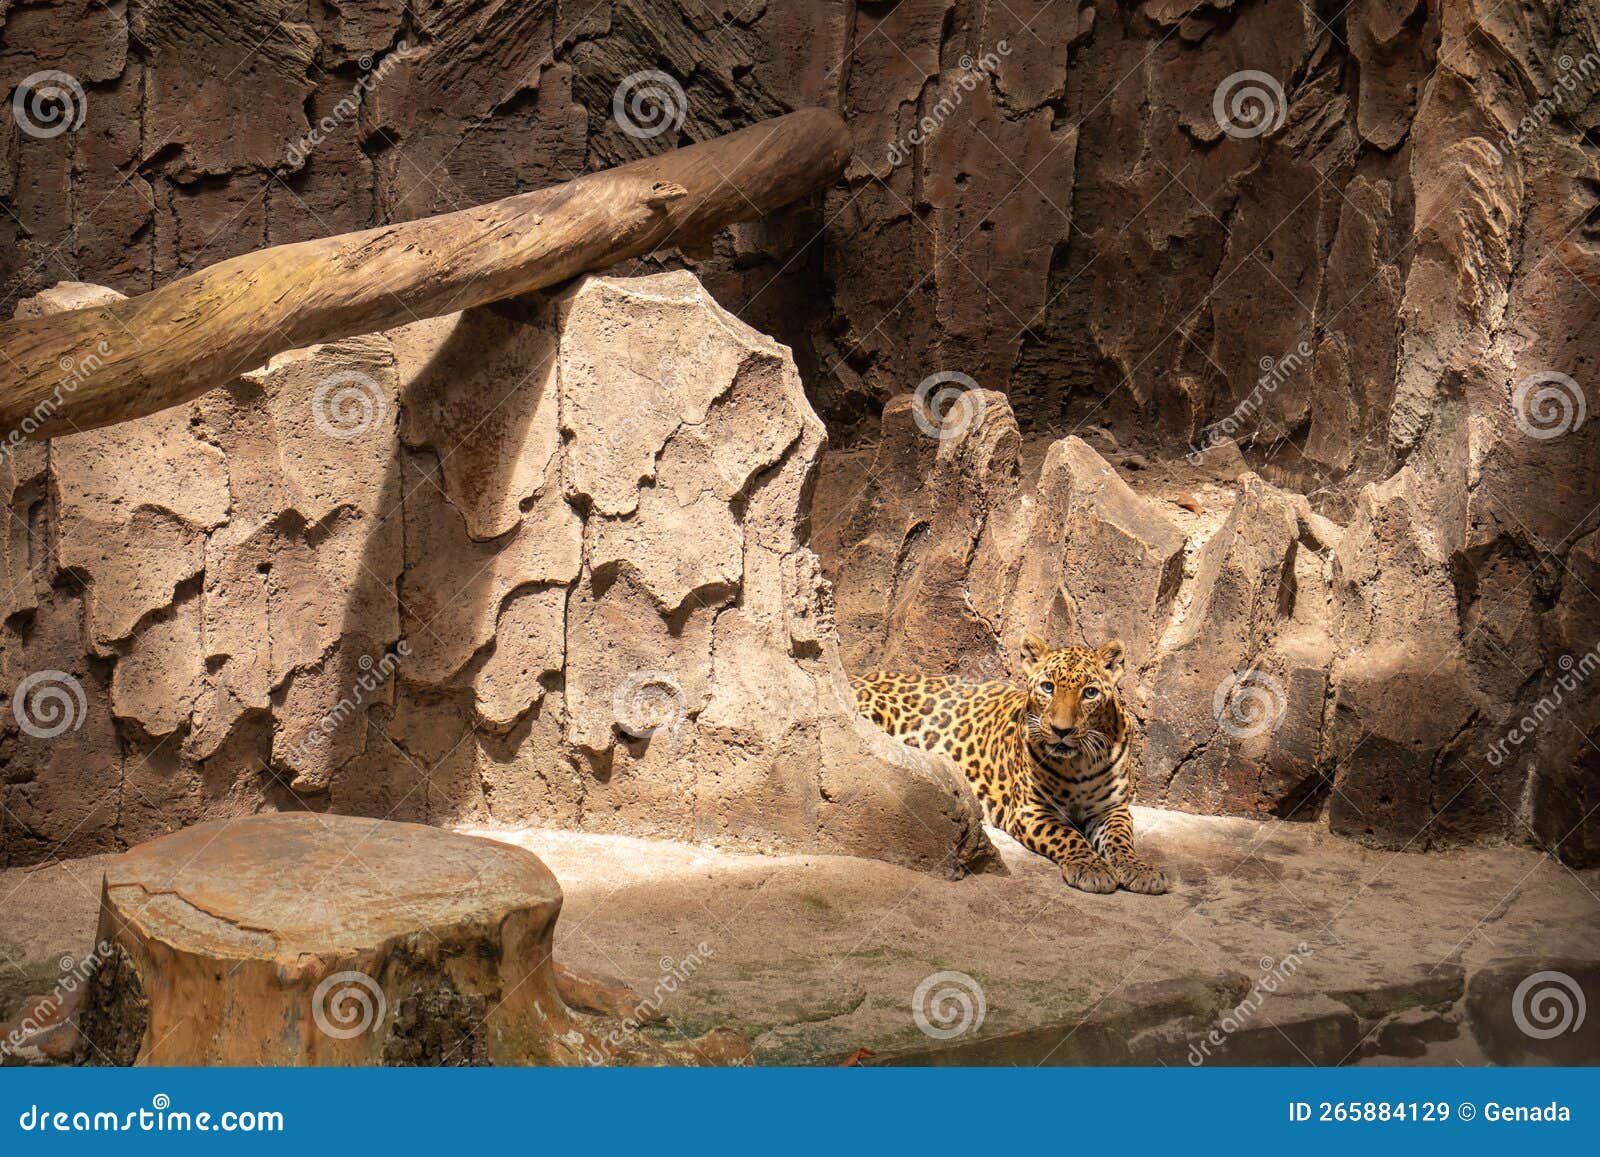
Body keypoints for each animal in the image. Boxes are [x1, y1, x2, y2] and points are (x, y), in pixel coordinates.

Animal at [851, 634, 1169, 895]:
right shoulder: (1031, 810)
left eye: (1089, 693)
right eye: (1047, 687)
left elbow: (1120, 839)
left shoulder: (1111, 808)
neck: (1078, 762)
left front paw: (1139, 869)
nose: (1061, 730)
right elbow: (1068, 836)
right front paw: (1092, 868)